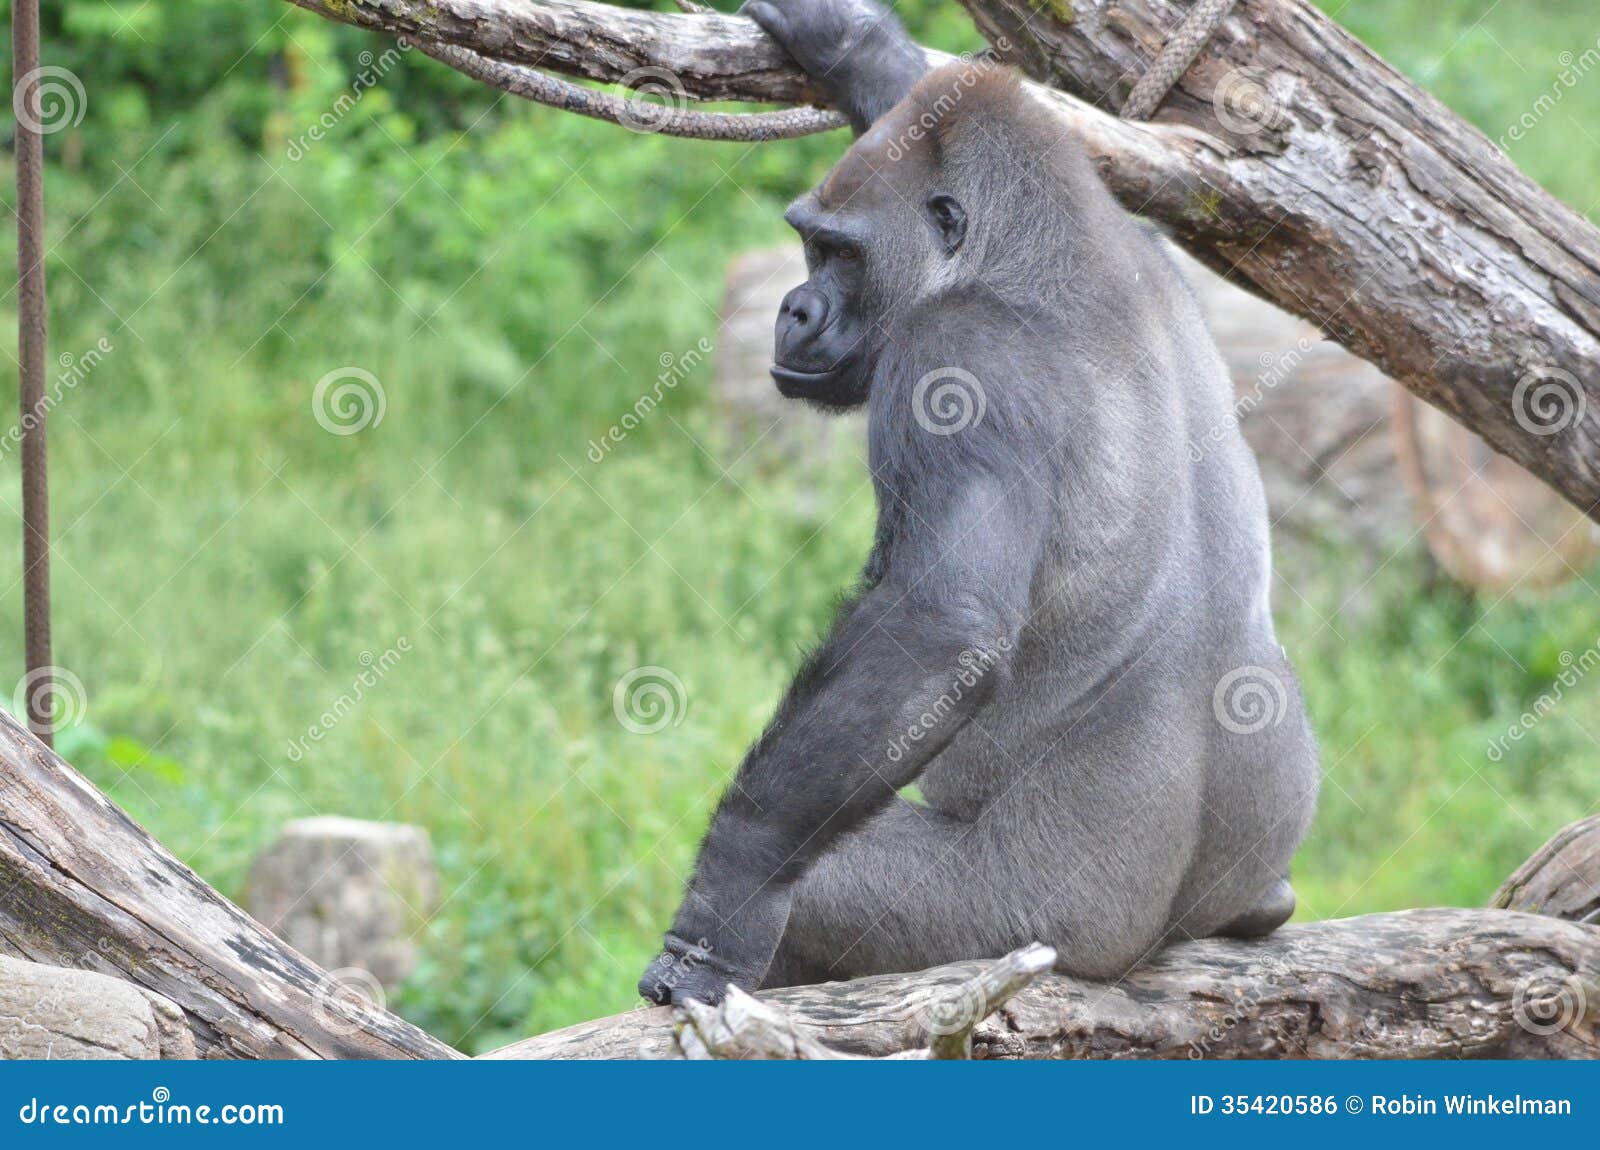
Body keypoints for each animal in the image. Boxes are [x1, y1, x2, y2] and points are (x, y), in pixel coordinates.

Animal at [638, 0, 1319, 1007]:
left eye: (835, 252)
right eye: (808, 244)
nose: (793, 309)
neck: (1044, 249)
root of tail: (1156, 938)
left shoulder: (955, 358)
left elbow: (939, 630)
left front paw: (724, 905)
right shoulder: (1144, 236)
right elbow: (933, 93)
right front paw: (851, 44)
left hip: (1030, 922)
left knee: (839, 885)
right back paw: (1263, 909)